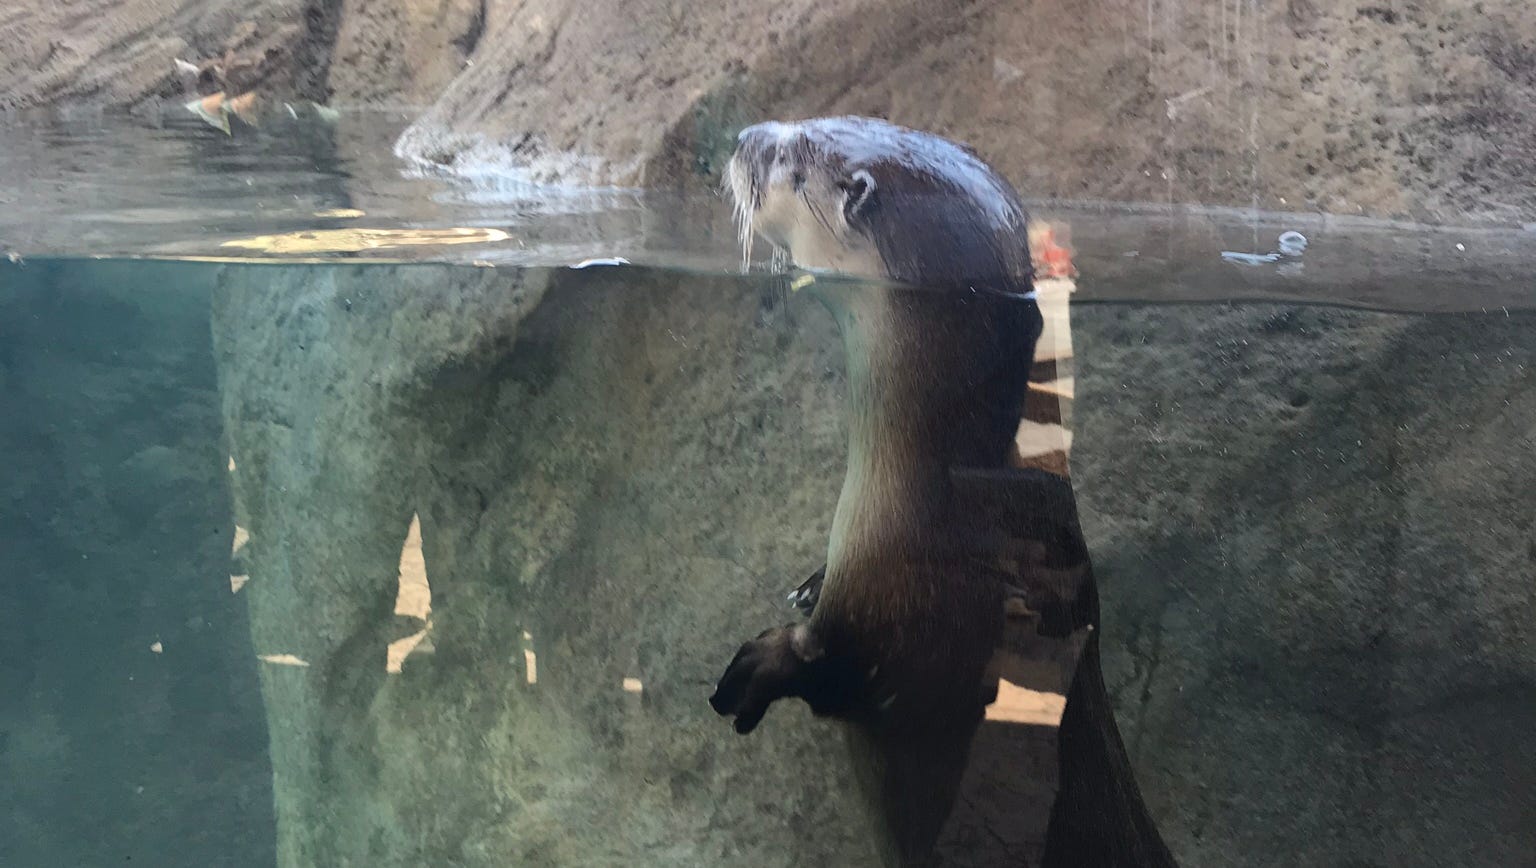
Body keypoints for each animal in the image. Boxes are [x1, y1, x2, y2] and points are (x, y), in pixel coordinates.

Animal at [707, 117, 1174, 868]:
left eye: (788, 160)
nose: (747, 135)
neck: (940, 501)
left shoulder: (895, 623)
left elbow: (827, 665)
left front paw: (758, 666)